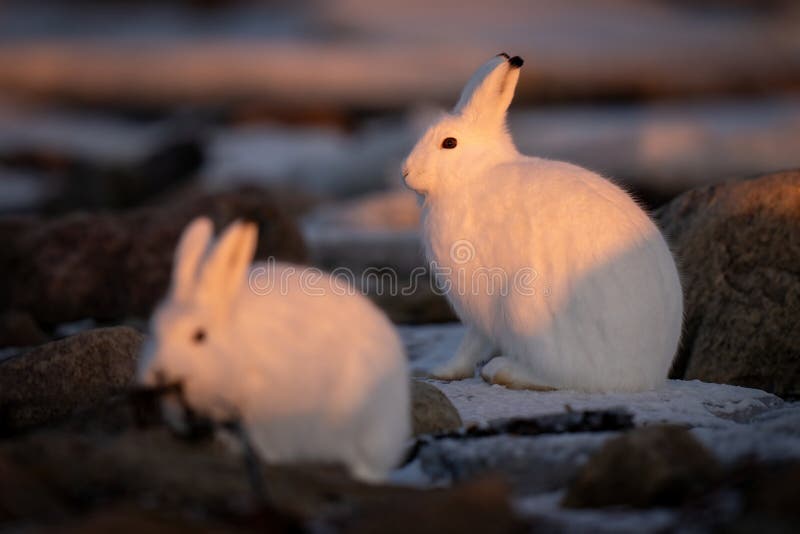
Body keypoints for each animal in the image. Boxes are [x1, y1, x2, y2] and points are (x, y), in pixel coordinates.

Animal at [402, 53, 683, 392]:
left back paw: (501, 370)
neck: (474, 174)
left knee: (558, 376)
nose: (405, 173)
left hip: (524, 306)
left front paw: (443, 371)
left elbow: (472, 342)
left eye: (449, 143)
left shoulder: (481, 301)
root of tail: (642, 379)